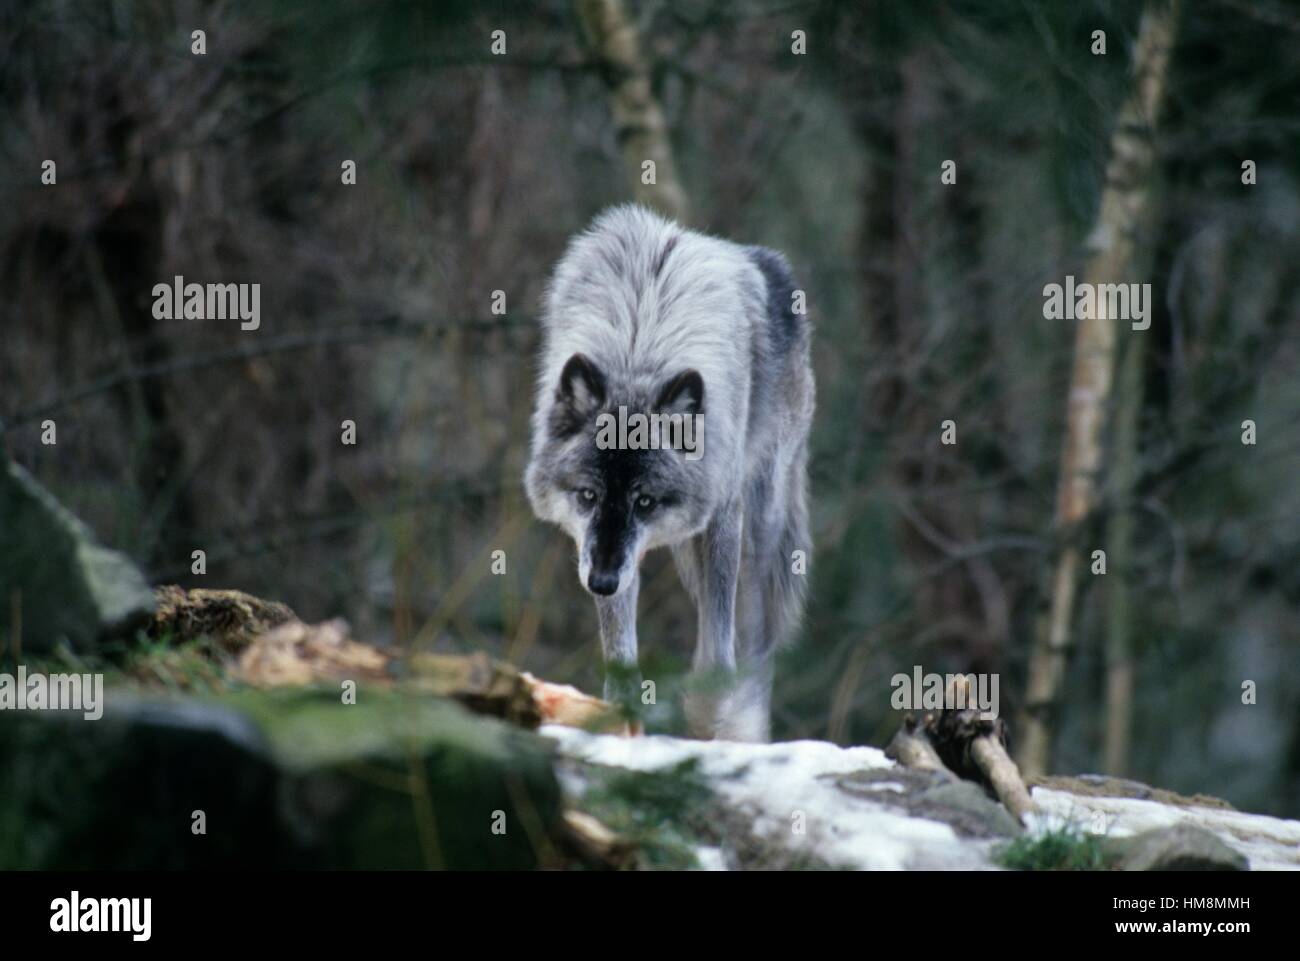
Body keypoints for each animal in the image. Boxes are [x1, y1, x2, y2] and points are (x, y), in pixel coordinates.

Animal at [524, 205, 814, 742]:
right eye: (588, 496)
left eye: (645, 501)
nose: (601, 583)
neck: (638, 347)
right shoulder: (602, 555)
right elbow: (620, 656)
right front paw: (621, 725)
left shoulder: (722, 515)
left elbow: (719, 655)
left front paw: (708, 719)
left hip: (760, 526)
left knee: (755, 631)